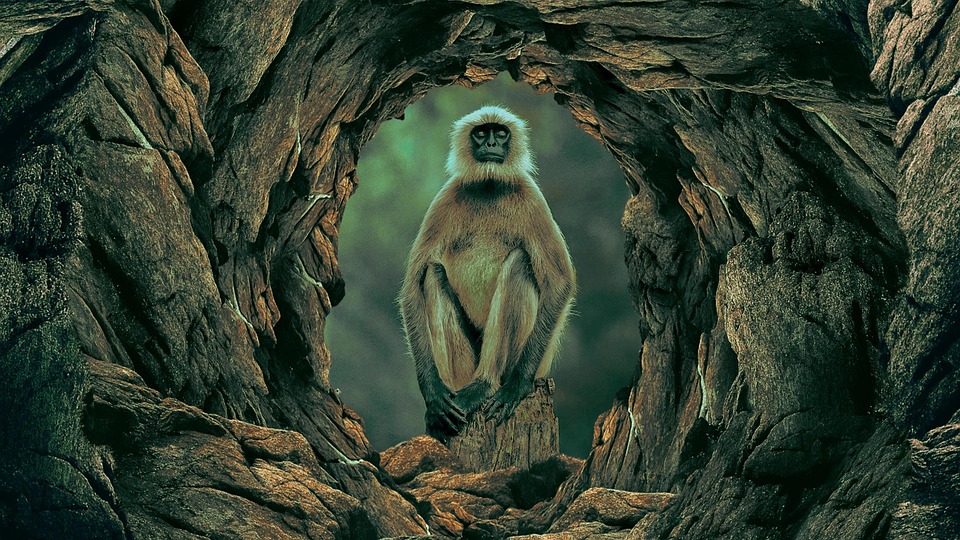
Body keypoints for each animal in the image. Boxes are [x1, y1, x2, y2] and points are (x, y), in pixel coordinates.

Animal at [399, 105, 576, 441]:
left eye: (501, 133)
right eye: (481, 133)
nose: (492, 144)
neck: (489, 187)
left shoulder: (531, 196)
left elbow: (559, 283)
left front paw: (517, 385)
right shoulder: (446, 197)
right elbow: (412, 288)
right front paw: (433, 398)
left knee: (519, 263)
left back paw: (487, 385)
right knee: (432, 274)